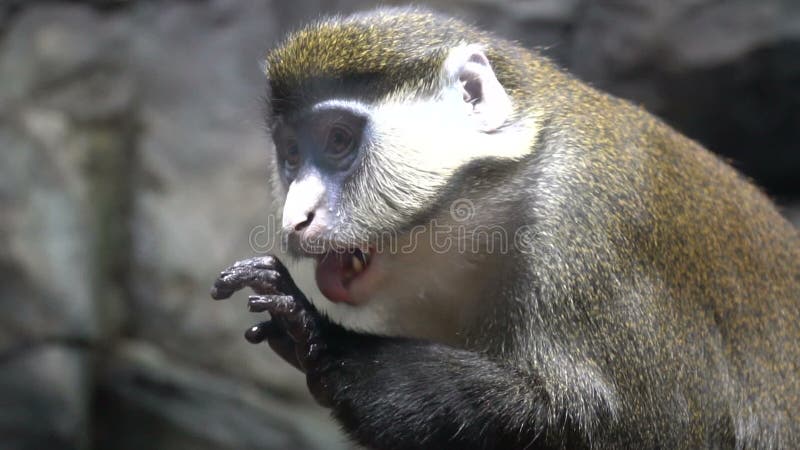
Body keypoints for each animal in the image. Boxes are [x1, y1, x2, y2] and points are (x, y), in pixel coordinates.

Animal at [211, 7, 800, 450]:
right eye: (291, 154)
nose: (295, 218)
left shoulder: (586, 232)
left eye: (337, 139)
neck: (502, 195)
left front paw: (320, 338)